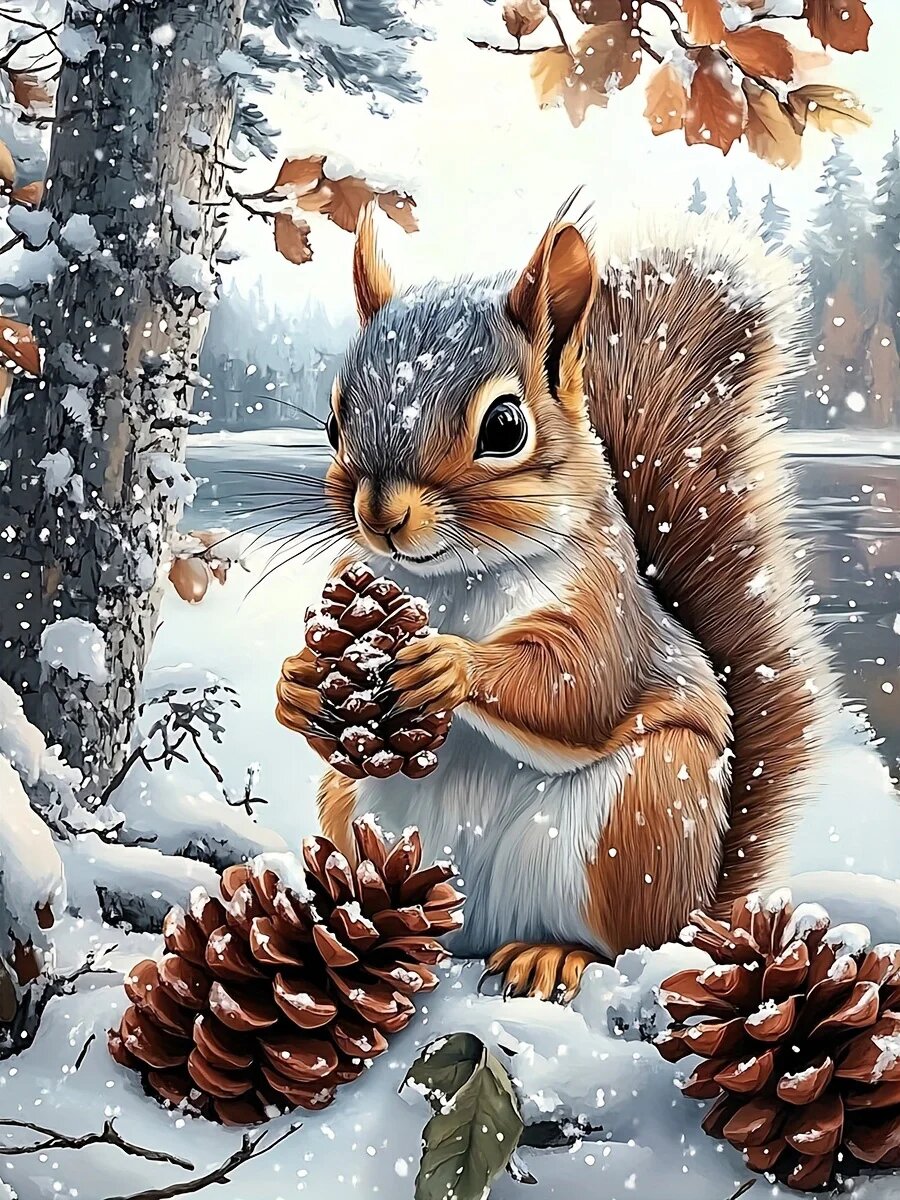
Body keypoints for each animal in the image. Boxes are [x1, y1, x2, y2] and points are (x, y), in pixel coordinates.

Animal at [276, 202, 834, 1001]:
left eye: (505, 427)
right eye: (332, 420)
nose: (381, 516)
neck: (454, 580)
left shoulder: (605, 611)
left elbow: (576, 689)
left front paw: (450, 665)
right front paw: (297, 683)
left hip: (639, 819)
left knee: (621, 942)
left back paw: (552, 954)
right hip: (350, 809)